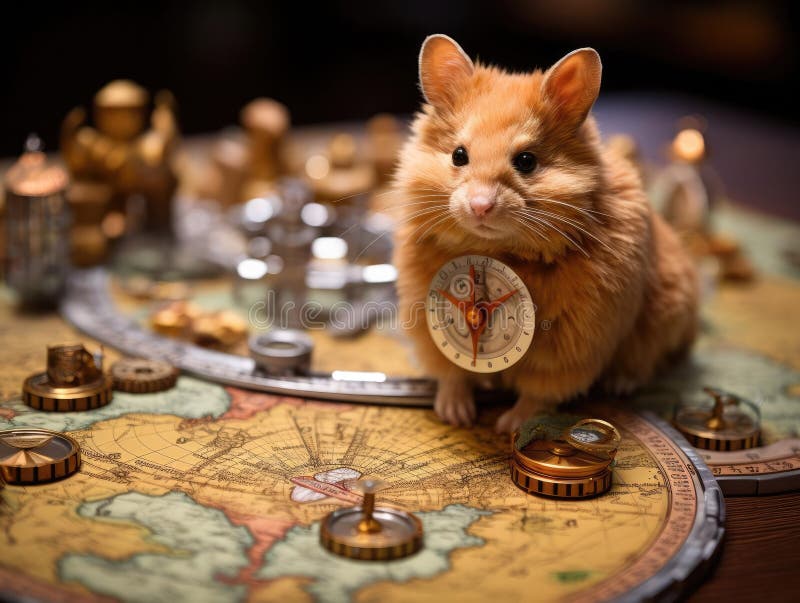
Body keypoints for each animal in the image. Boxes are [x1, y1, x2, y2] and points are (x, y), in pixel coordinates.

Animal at [392, 35, 698, 433]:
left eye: (526, 161)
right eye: (459, 155)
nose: (479, 207)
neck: (496, 248)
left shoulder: (567, 352)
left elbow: (537, 395)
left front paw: (508, 427)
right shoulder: (429, 332)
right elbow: (453, 374)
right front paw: (456, 416)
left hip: (665, 318)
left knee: (646, 362)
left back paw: (618, 384)